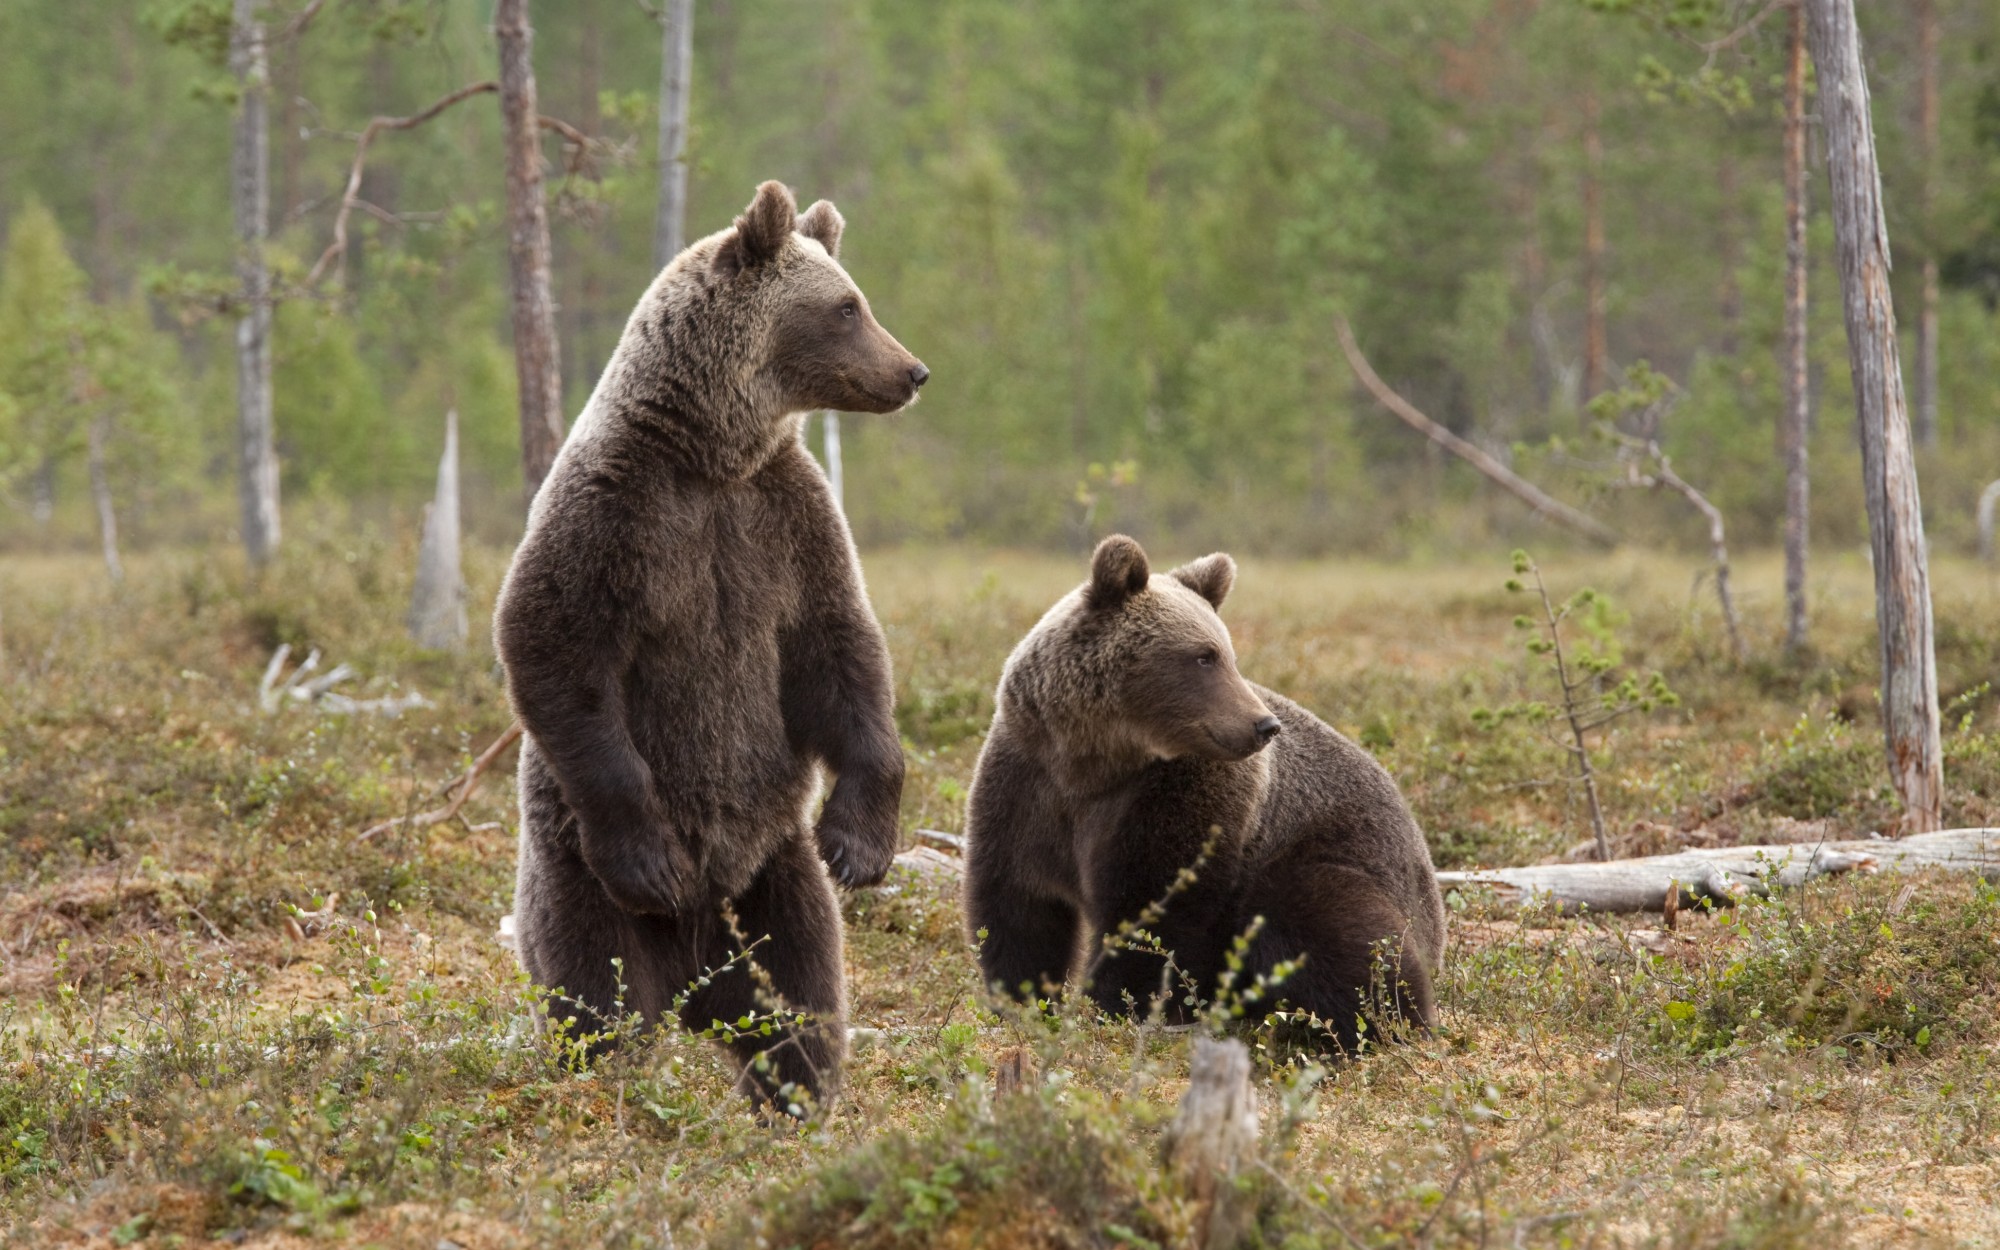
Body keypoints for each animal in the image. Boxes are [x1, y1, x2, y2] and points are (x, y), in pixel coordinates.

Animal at [493, 180, 927, 1109]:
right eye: (847, 307)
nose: (912, 371)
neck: (711, 452)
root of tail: (698, 982)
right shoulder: (618, 513)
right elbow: (555, 645)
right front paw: (652, 855)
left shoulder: (785, 520)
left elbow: (841, 651)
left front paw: (860, 843)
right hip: (576, 879)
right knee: (600, 998)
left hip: (773, 882)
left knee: (803, 999)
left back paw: (797, 1096)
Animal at [962, 535, 1445, 1051]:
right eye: (1204, 656)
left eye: (1226, 653)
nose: (1264, 725)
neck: (1094, 763)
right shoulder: (1028, 783)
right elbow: (1019, 905)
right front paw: (1024, 1000)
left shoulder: (1179, 796)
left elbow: (1155, 907)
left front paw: (1118, 1006)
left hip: (1336, 856)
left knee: (1332, 928)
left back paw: (1380, 1024)